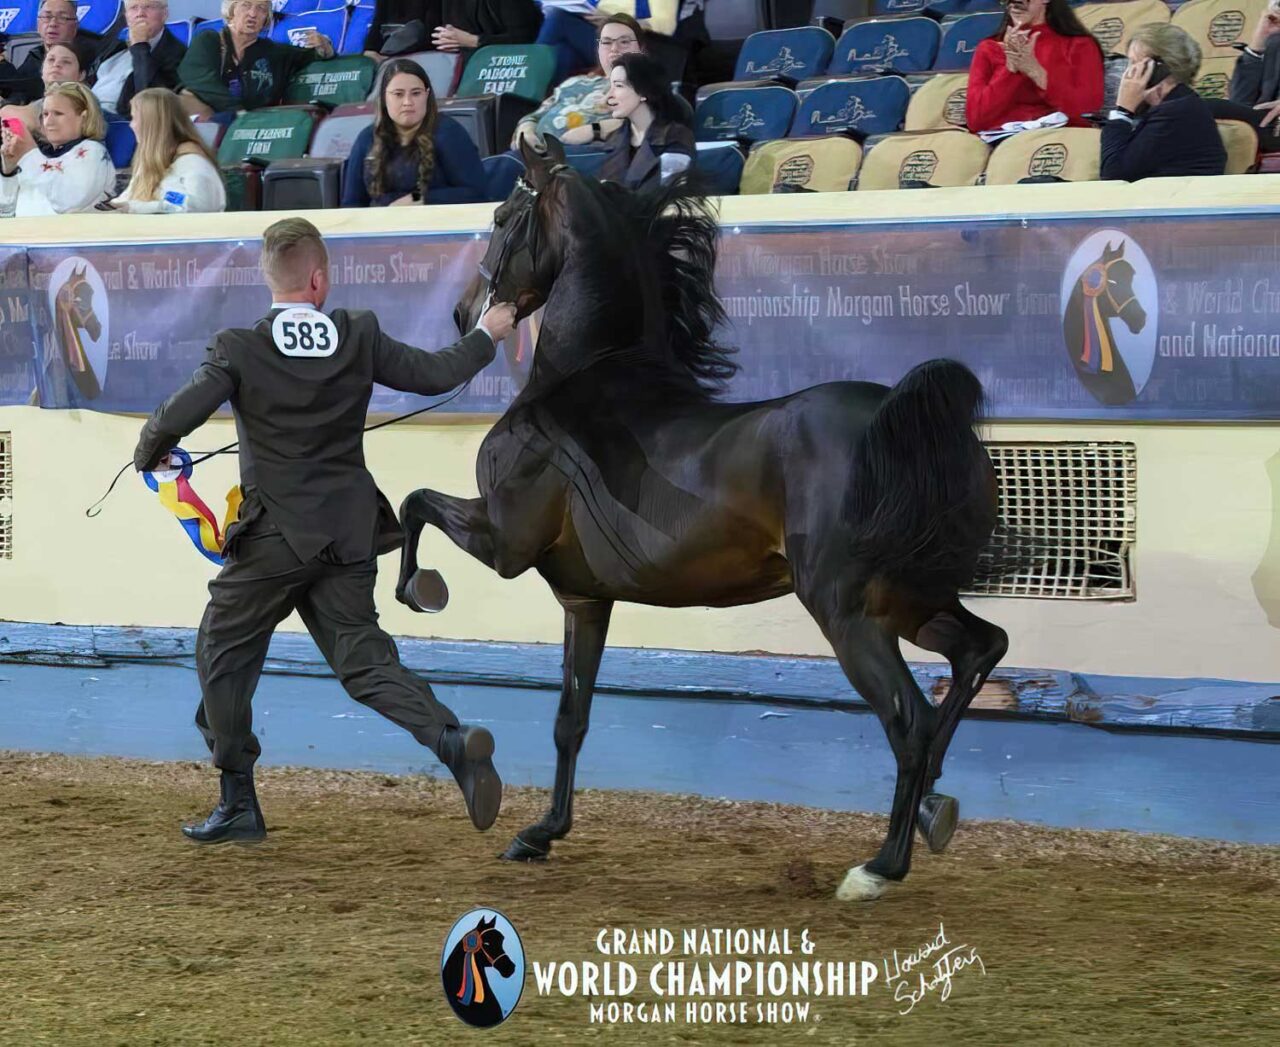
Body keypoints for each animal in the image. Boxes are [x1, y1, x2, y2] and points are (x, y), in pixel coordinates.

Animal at [396, 137, 1013, 902]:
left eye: (504, 217)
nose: (463, 315)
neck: (582, 379)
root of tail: (902, 418)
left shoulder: (503, 540)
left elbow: (414, 502)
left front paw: (418, 589)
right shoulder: (585, 598)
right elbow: (572, 718)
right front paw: (540, 833)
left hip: (849, 610)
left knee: (911, 717)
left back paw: (877, 868)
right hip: (910, 598)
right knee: (978, 653)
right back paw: (934, 810)